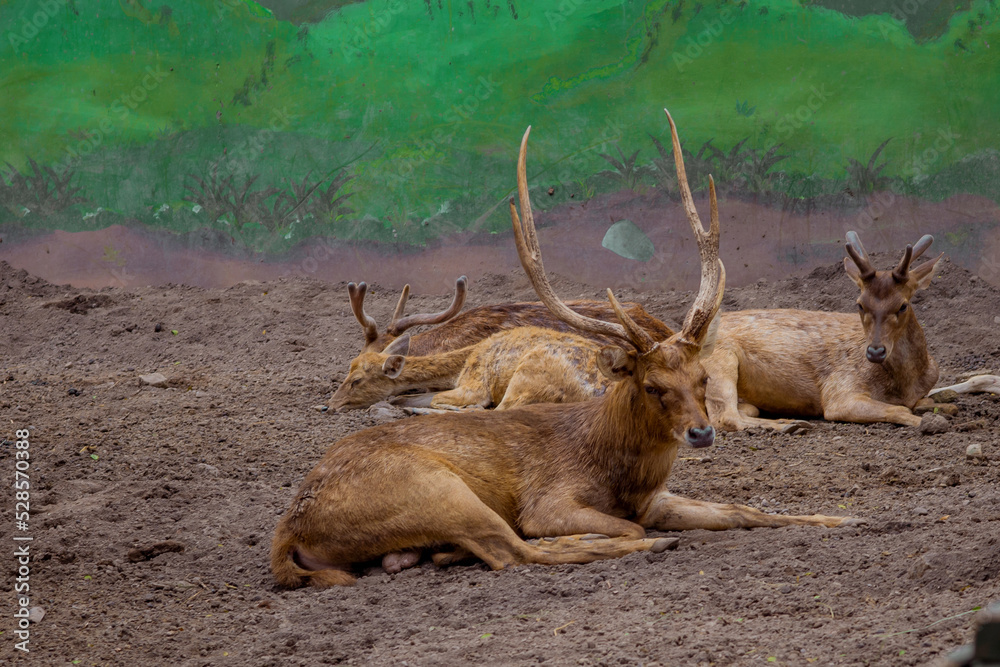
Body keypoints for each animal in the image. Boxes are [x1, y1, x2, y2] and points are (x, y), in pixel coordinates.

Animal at [271, 111, 862, 589]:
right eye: (652, 385)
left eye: (702, 380)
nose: (701, 432)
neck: (619, 471)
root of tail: (289, 529)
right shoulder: (551, 499)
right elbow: (613, 525)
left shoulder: (659, 497)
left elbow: (744, 508)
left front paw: (846, 519)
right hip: (440, 489)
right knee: (513, 550)